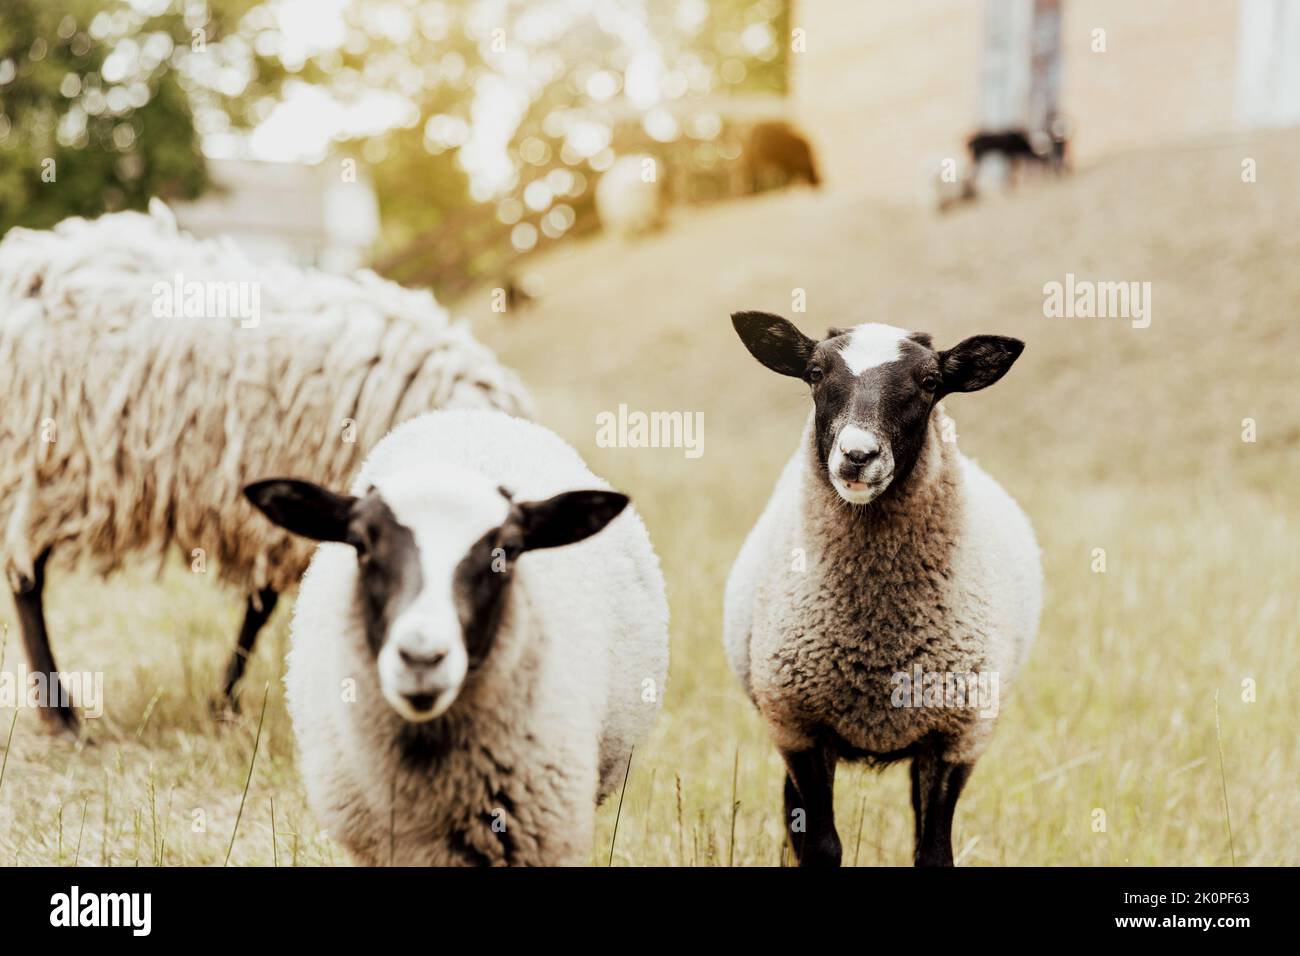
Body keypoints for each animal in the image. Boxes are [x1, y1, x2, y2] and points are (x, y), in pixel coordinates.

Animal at [0, 203, 532, 732]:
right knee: (27, 580)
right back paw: (60, 713)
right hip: (42, 463)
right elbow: (267, 607)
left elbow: (260, 606)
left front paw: (226, 705)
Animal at [724, 311, 1041, 867]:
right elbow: (821, 845)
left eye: (931, 382)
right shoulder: (801, 725)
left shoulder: (957, 735)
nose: (857, 455)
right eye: (814, 373)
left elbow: (933, 853)